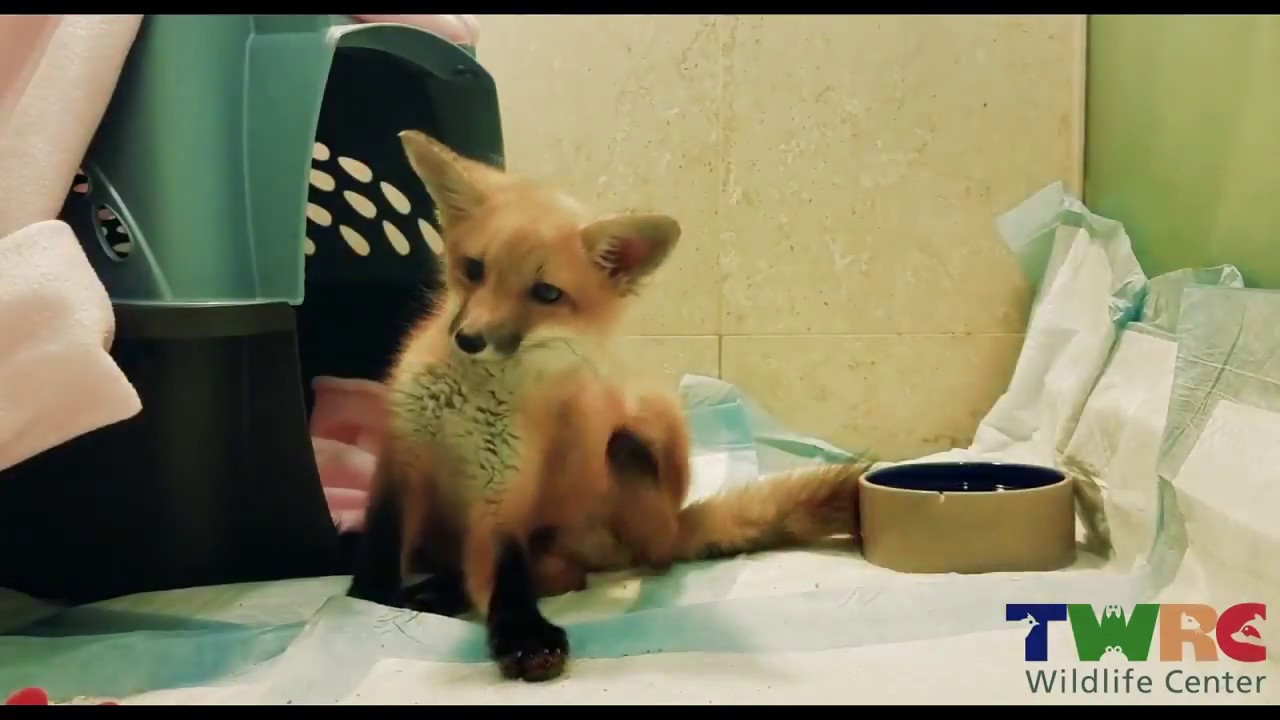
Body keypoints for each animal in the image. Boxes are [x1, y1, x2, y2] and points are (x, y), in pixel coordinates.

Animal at [346, 129, 867, 684]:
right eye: (473, 269)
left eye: (546, 293)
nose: (469, 339)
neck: (468, 407)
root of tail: (676, 522)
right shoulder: (402, 459)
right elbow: (379, 548)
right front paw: (368, 597)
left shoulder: (504, 493)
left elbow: (506, 577)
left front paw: (523, 636)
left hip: (632, 443)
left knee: (587, 570)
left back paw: (449, 591)